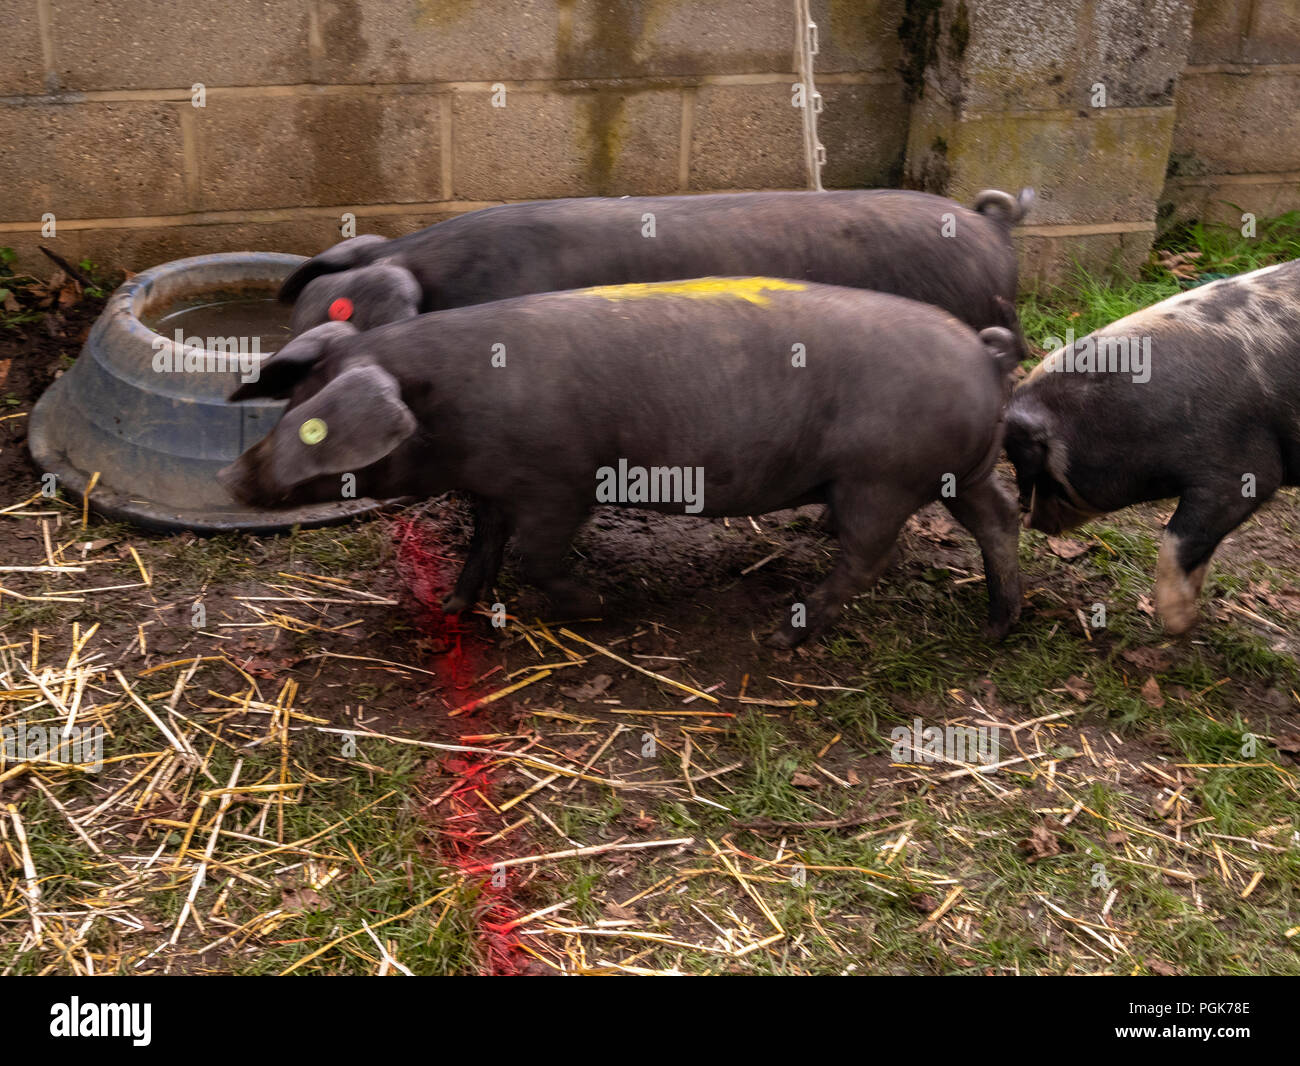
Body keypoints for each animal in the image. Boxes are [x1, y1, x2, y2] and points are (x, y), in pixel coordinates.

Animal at [219, 277, 1024, 648]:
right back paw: (997, 625)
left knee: (868, 558)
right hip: (964, 471)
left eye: (314, 428)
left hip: (881, 478)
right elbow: (485, 543)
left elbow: (539, 554)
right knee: (1002, 520)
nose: (233, 478)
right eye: (293, 408)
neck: (451, 413)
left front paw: (603, 607)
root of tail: (983, 354)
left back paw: (781, 636)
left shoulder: (558, 484)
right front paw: (453, 606)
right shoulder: (493, 488)